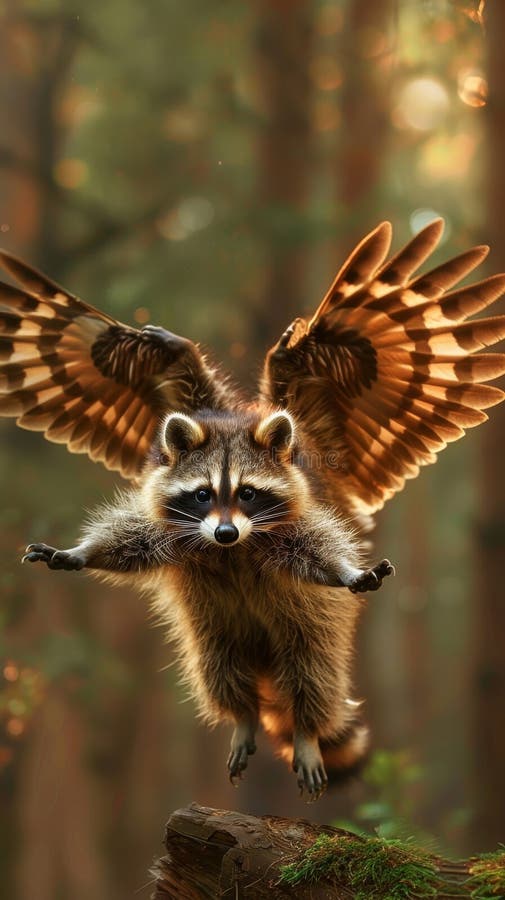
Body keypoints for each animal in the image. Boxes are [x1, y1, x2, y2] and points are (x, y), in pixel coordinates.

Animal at [2, 219, 505, 796]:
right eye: (202, 494)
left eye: (247, 493)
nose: (224, 534)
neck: (232, 550)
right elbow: (131, 537)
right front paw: (81, 553)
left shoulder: (298, 521)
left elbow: (318, 550)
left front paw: (346, 570)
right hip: (212, 629)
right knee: (219, 670)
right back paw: (242, 714)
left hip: (313, 627)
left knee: (312, 673)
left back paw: (307, 728)